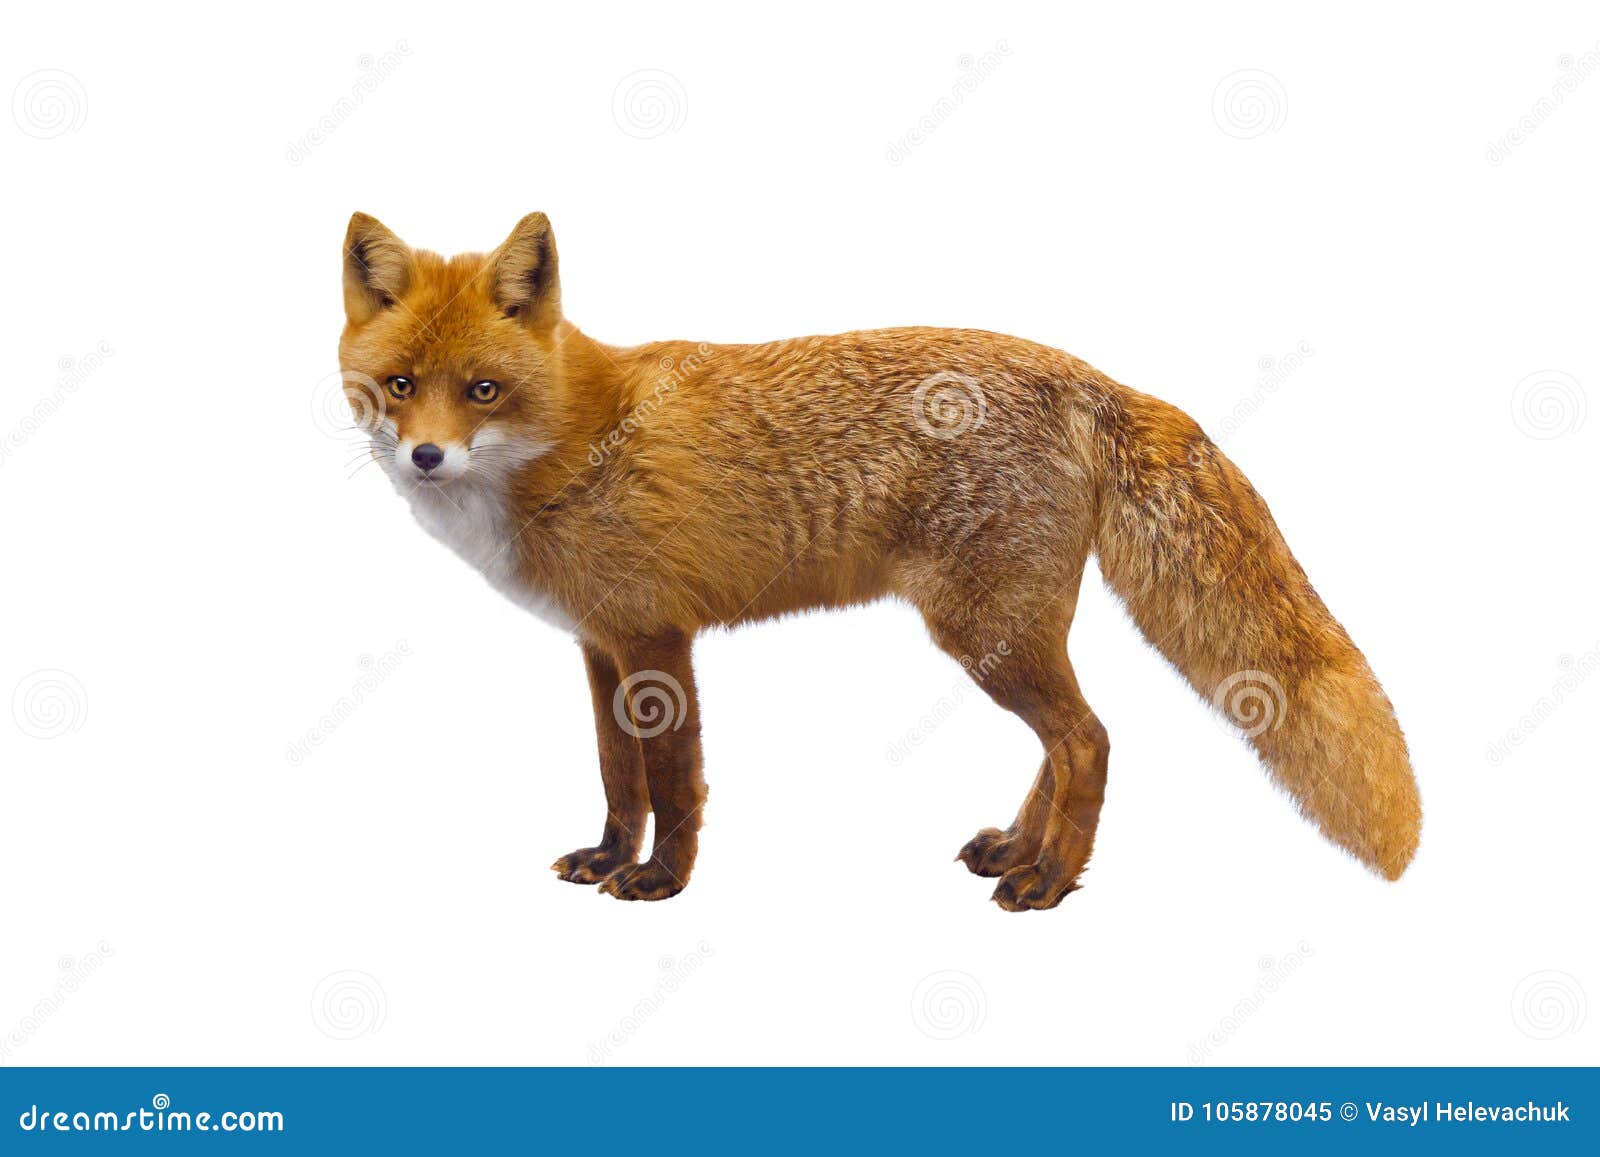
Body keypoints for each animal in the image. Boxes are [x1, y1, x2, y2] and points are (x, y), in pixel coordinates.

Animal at [336, 211, 1422, 911]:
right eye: (401, 384)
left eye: (483, 389)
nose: (426, 457)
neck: (570, 438)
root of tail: (1085, 371)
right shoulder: (601, 645)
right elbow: (617, 777)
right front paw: (608, 858)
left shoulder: (656, 639)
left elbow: (675, 783)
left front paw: (661, 882)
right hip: (1009, 635)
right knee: (1066, 741)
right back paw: (1020, 849)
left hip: (983, 633)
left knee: (1090, 740)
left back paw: (1050, 879)